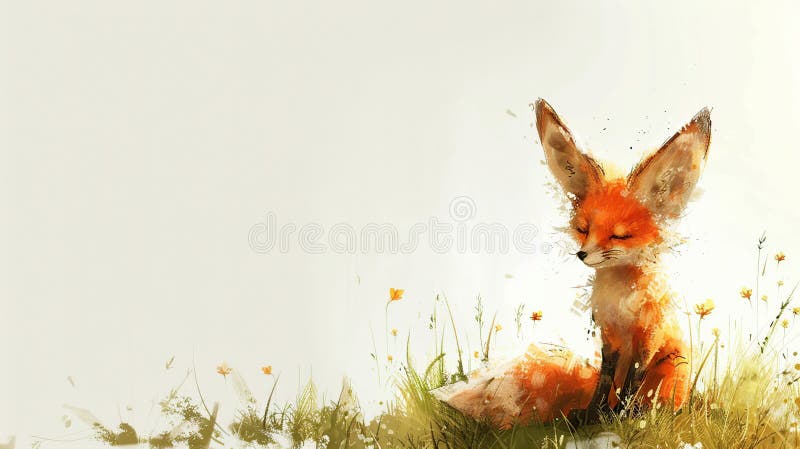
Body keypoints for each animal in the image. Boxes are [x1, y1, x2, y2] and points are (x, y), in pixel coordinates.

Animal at [433, 99, 711, 427]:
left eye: (619, 235)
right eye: (583, 229)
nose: (582, 255)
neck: (621, 304)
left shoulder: (648, 338)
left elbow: (631, 383)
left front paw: (620, 417)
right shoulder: (609, 337)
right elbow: (606, 380)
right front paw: (594, 413)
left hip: (671, 368)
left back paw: (642, 414)